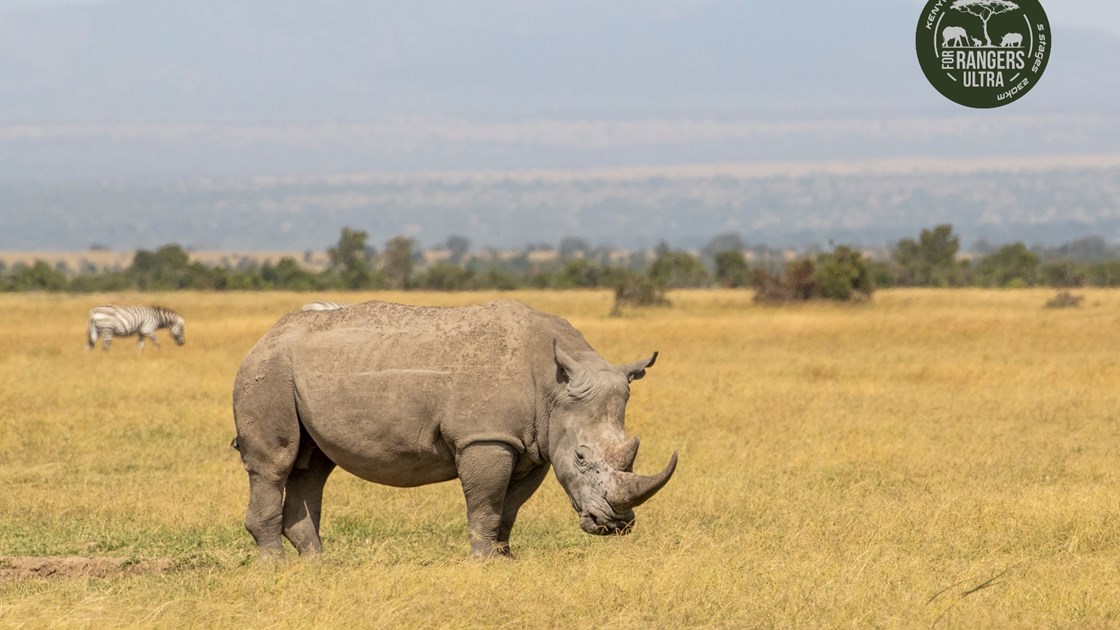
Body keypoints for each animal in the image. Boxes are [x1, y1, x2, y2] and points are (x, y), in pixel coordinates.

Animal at [232, 299, 677, 559]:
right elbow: (485, 502)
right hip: (267, 370)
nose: (614, 525)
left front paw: (504, 559)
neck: (555, 385)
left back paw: (318, 566)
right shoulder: (486, 438)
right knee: (275, 464)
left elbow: (509, 508)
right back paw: (275, 567)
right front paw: (481, 563)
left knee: (312, 466)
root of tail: (266, 335)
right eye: (582, 458)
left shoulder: (533, 445)